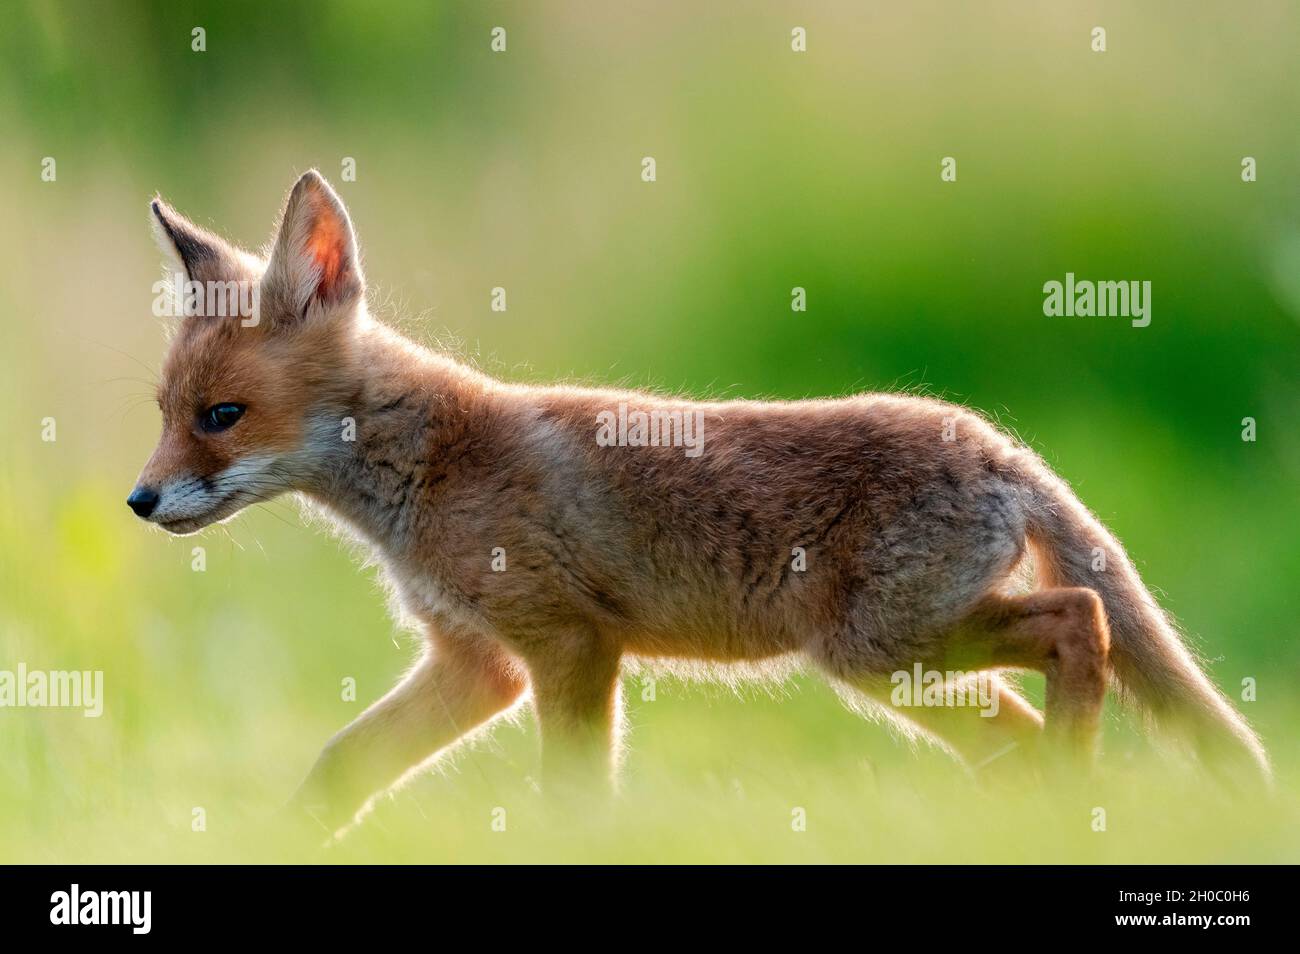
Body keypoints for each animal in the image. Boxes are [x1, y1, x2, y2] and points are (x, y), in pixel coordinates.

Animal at [132, 170, 1269, 833]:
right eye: (164, 411)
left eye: (222, 416)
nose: (141, 499)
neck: (428, 469)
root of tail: (997, 444)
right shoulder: (481, 663)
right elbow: (337, 771)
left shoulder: (569, 647)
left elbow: (573, 808)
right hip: (900, 667)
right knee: (1029, 720)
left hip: (880, 646)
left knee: (1081, 623)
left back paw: (1083, 781)